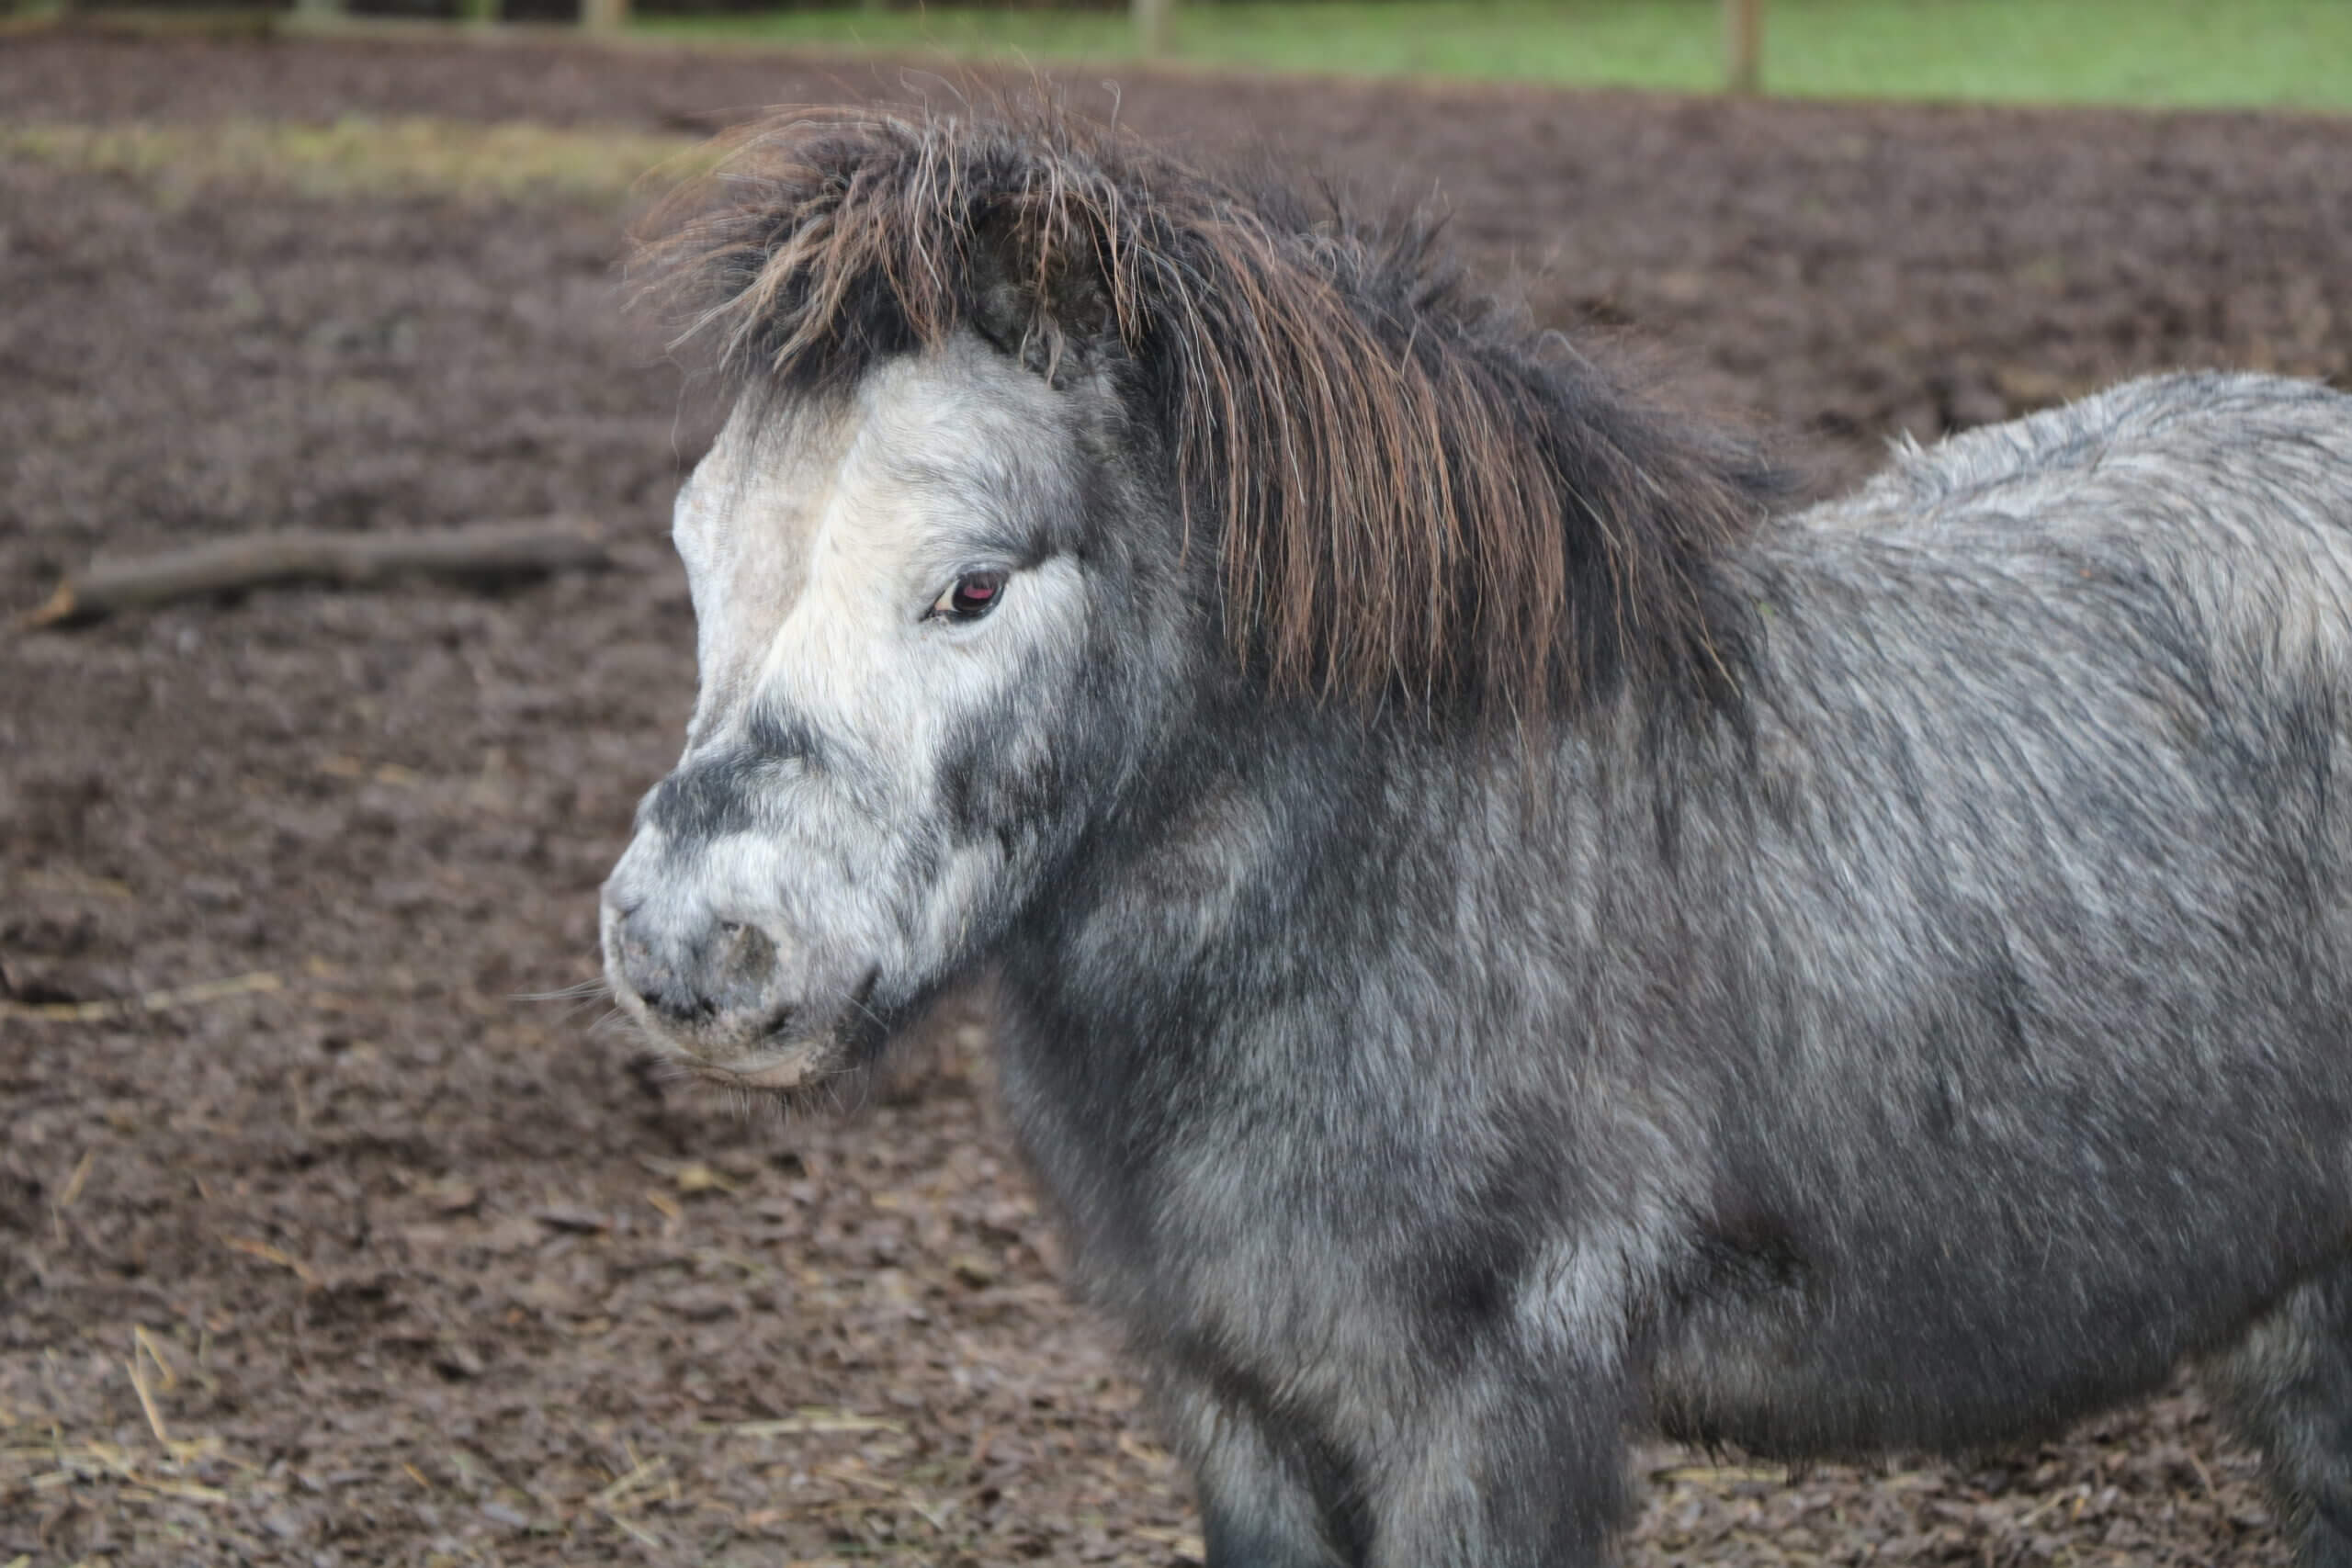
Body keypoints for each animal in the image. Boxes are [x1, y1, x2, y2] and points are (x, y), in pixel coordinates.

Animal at [597, 106, 2352, 1566]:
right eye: (694, 548)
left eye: (969, 585)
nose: (692, 945)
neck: (1391, 859)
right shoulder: (1235, 1405)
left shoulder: (1487, 1417)